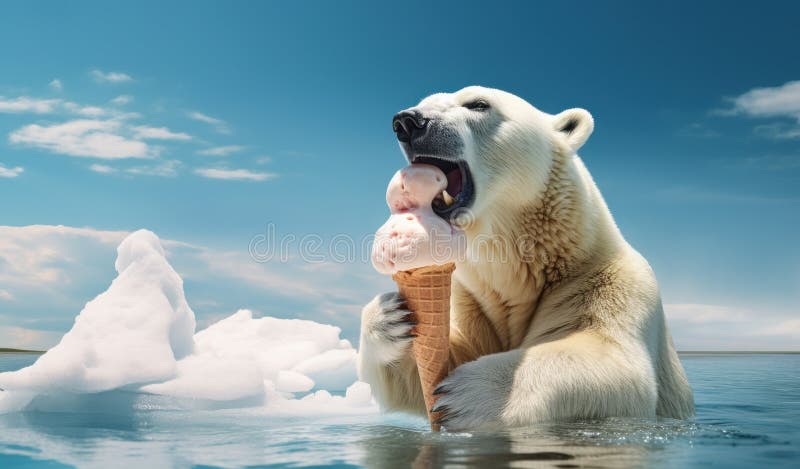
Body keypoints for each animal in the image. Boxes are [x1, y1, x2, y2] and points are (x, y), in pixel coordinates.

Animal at [357, 86, 694, 430]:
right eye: (423, 102)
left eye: (477, 104)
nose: (407, 121)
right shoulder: (476, 300)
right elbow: (436, 365)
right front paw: (390, 316)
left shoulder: (608, 284)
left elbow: (618, 366)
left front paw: (468, 394)